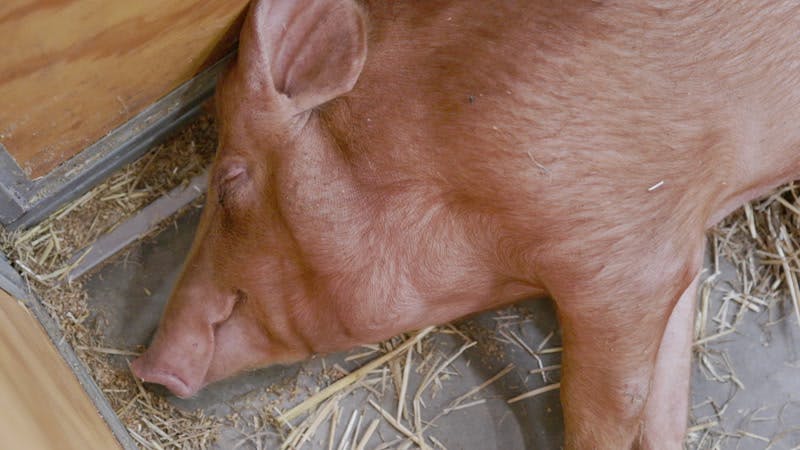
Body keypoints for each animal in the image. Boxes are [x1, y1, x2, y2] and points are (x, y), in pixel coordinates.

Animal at [131, 0, 800, 448]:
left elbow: (606, 404)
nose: (144, 364)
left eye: (228, 182)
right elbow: (664, 402)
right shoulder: (678, 244)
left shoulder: (619, 248)